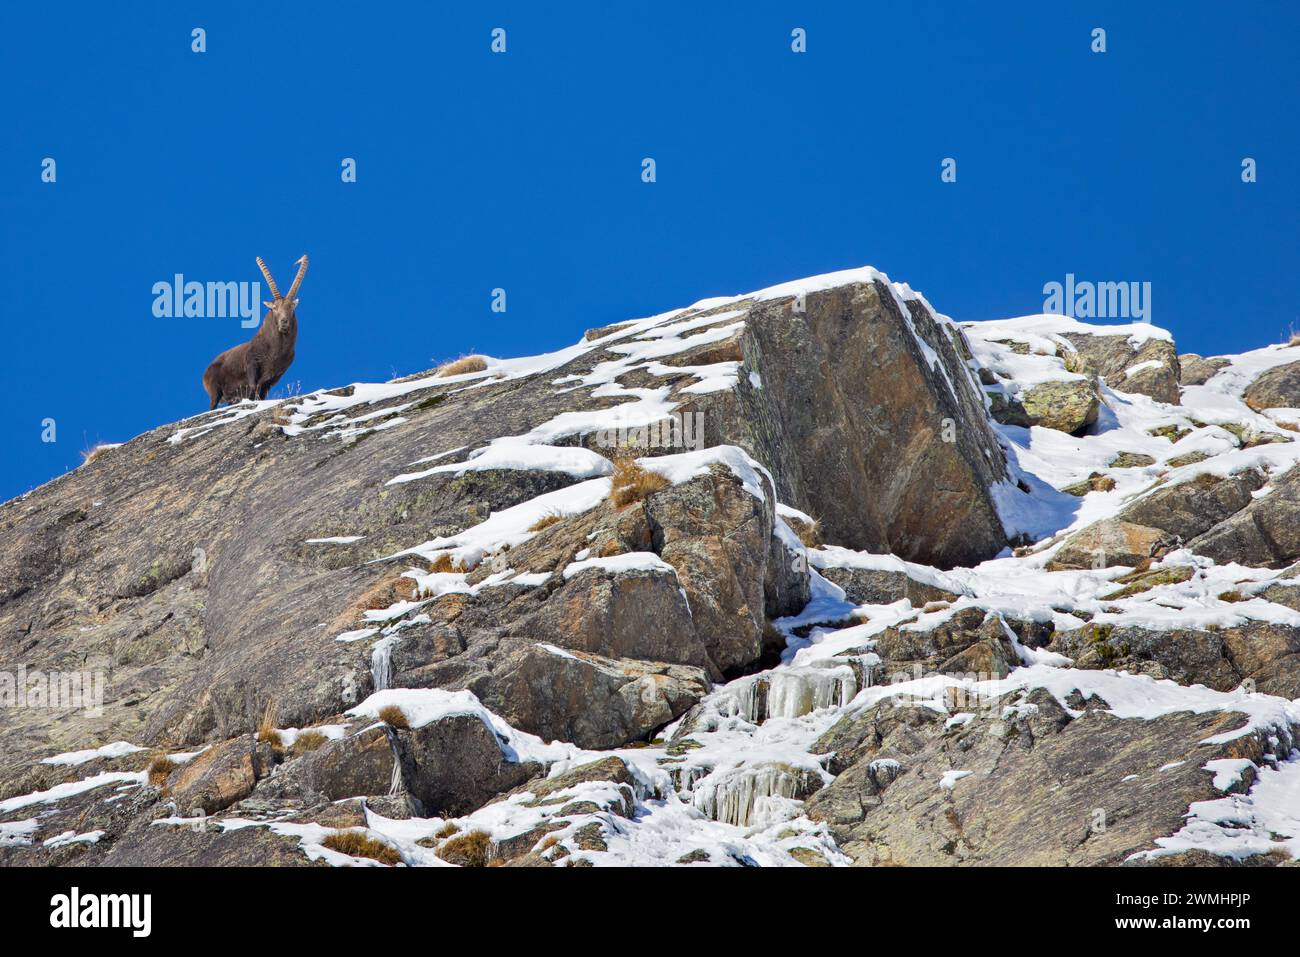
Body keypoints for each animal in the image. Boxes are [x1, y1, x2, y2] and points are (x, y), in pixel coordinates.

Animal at [202, 255, 307, 410]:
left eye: (292, 308)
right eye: (274, 308)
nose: (284, 322)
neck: (275, 351)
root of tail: (205, 372)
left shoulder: (273, 377)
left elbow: (261, 394)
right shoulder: (252, 365)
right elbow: (252, 388)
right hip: (215, 390)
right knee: (213, 404)